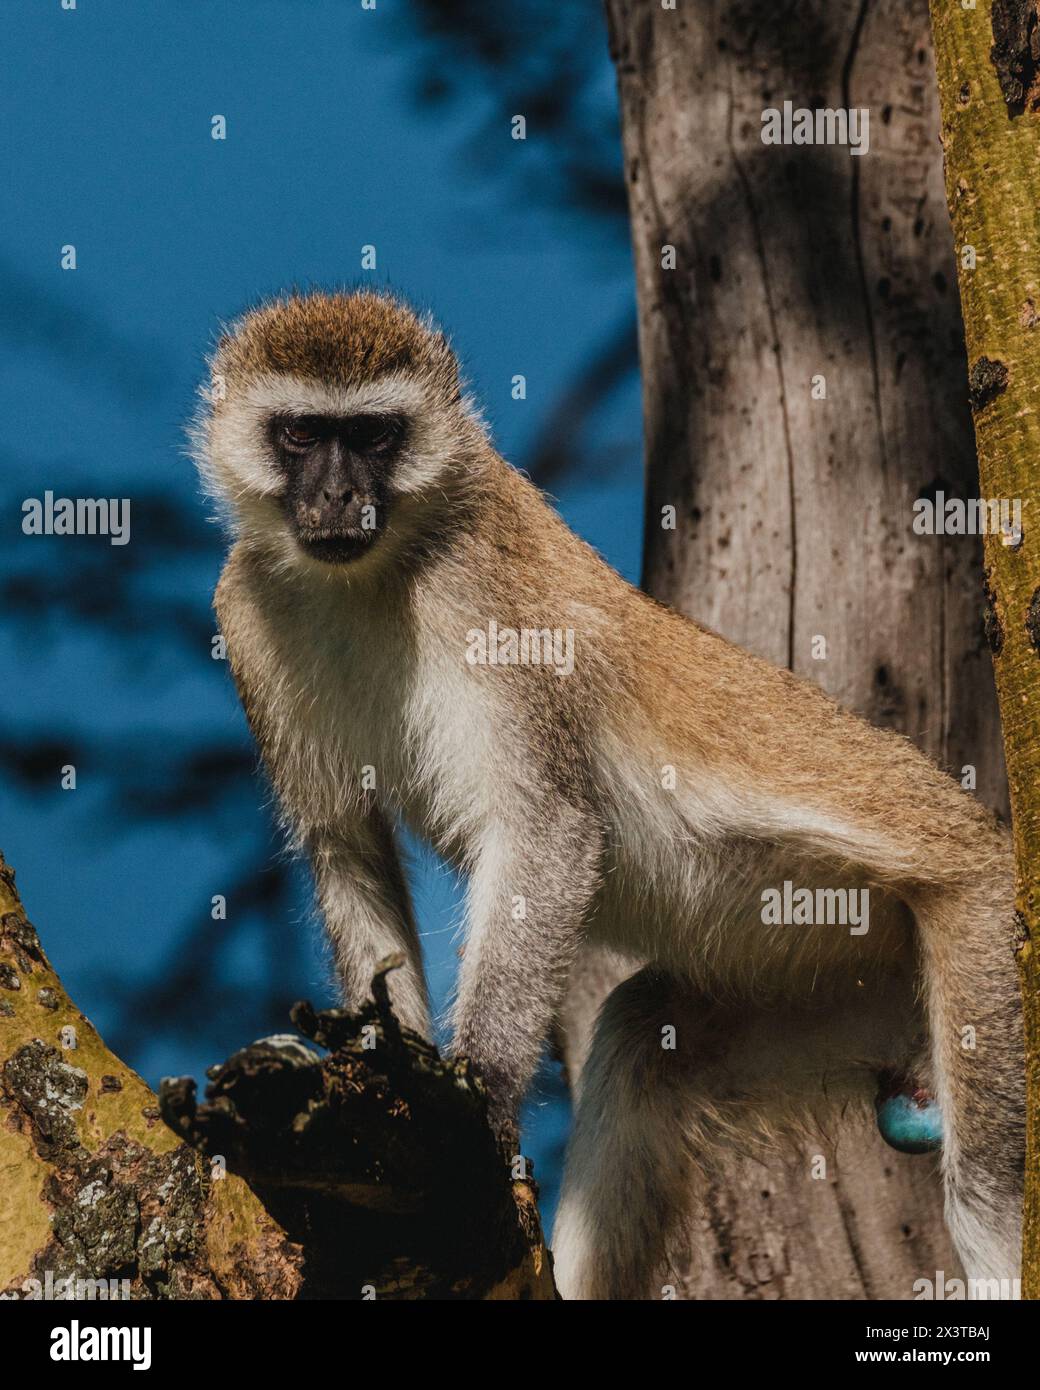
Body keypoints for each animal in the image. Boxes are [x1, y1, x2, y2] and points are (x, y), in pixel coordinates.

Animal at [194, 288, 1024, 1300]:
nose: (339, 498)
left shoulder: (483, 588)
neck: (370, 573)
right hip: (863, 988)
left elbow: (544, 828)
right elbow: (345, 846)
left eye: (376, 437)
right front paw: (379, 1087)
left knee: (984, 1192)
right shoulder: (246, 607)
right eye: (304, 434)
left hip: (979, 928)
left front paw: (473, 1113)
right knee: (641, 1044)